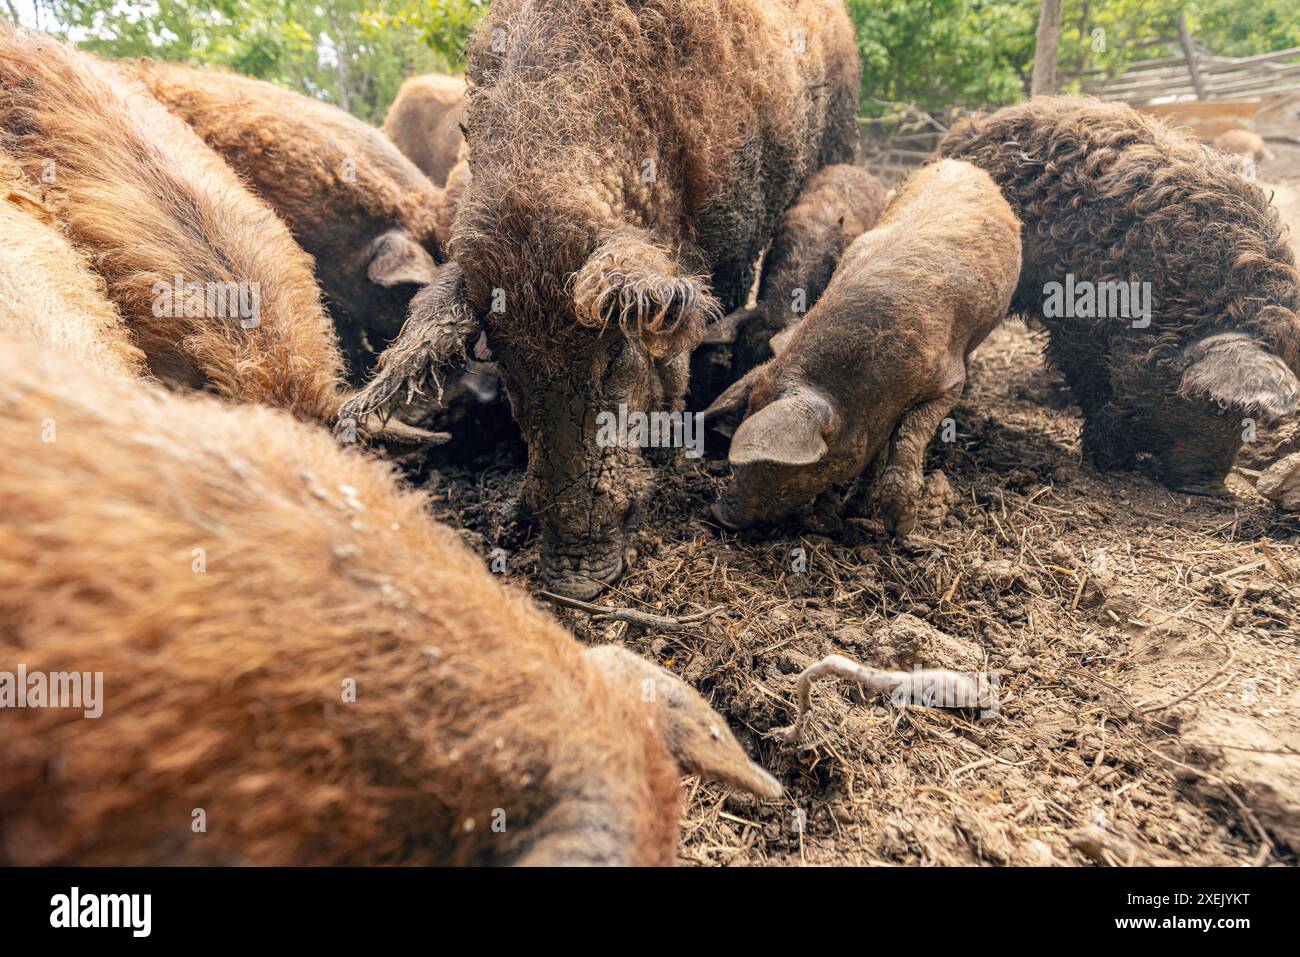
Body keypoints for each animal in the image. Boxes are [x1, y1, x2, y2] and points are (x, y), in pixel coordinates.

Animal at [705, 160, 1022, 534]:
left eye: (776, 464)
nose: (719, 513)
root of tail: (960, 163)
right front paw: (847, 510)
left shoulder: (946, 381)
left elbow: (909, 437)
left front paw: (901, 529)